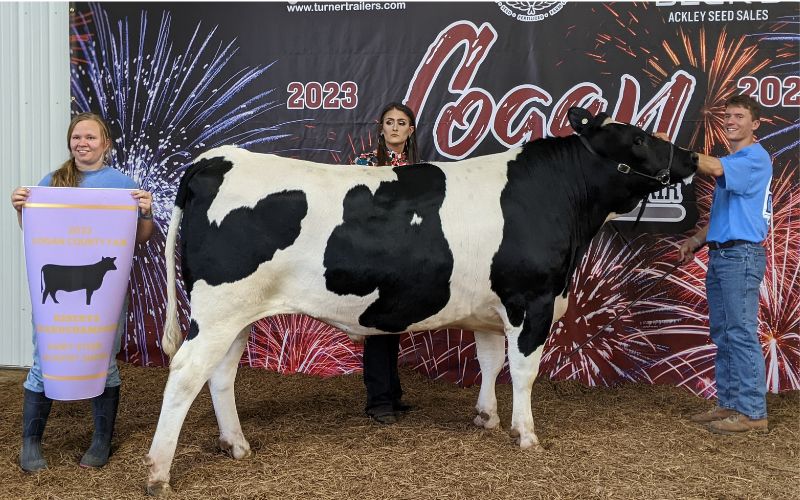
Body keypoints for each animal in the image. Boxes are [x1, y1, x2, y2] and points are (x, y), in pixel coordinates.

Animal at [144, 108, 698, 495]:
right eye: (638, 137)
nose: (692, 157)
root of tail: (217, 157)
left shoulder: (491, 311)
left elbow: (490, 362)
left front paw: (485, 418)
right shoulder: (533, 300)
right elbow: (524, 371)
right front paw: (524, 433)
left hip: (238, 314)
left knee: (220, 374)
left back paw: (236, 444)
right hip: (217, 309)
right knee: (186, 372)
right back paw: (157, 472)